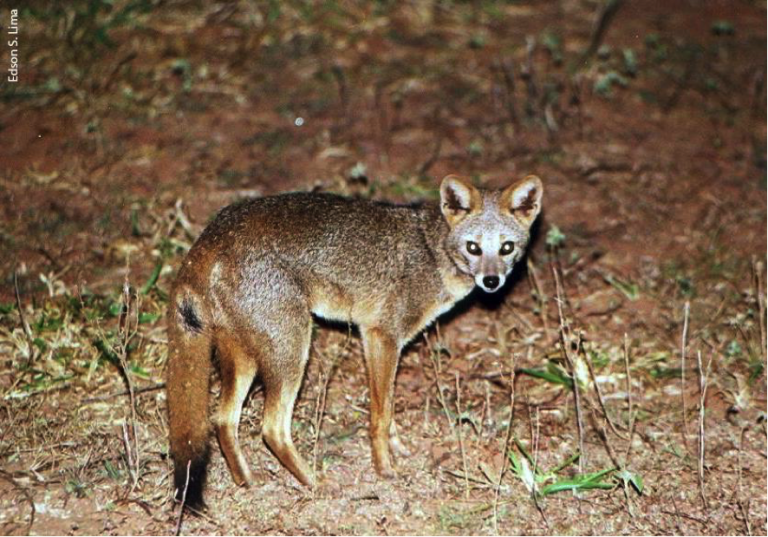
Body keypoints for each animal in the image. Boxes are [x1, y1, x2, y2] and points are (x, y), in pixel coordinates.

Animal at [166, 174, 543, 507]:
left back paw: (246, 481)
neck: (431, 250)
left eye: (506, 248)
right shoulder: (382, 335)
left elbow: (387, 407)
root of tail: (211, 234)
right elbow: (380, 415)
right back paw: (315, 482)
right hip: (293, 353)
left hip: (243, 359)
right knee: (271, 428)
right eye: (473, 248)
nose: (492, 281)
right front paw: (384, 469)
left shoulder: (375, 338)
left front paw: (397, 449)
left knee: (223, 420)